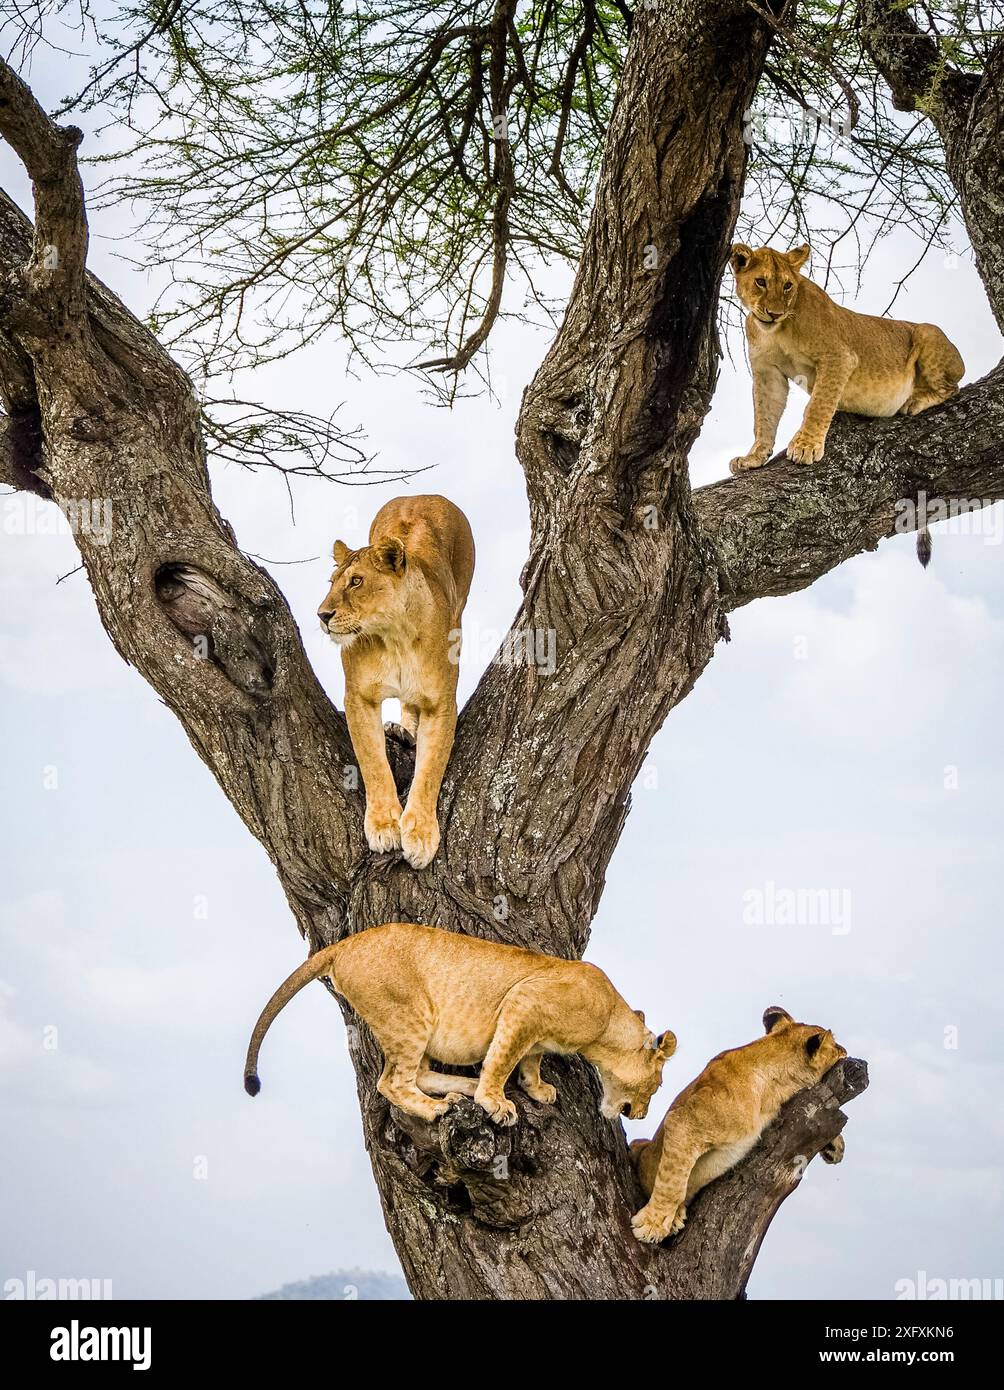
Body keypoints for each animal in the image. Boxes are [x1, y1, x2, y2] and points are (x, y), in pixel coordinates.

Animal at [244, 921, 677, 1126]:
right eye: (655, 1087)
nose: (641, 1115)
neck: (608, 1023)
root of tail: (346, 943)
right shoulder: (524, 1003)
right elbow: (503, 1059)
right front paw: (495, 1102)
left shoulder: (532, 1025)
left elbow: (528, 1061)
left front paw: (537, 1089)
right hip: (409, 1015)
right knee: (392, 1082)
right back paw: (438, 1108)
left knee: (419, 1073)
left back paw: (460, 1091)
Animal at [318, 495, 475, 869]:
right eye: (332, 582)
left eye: (356, 581)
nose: (322, 615)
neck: (395, 636)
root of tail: (422, 494)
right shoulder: (359, 697)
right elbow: (373, 763)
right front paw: (383, 826)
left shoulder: (440, 702)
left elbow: (430, 771)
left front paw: (420, 835)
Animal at [629, 1005, 847, 1244]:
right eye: (838, 1048)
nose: (847, 1052)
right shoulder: (683, 1122)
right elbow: (672, 1182)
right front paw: (653, 1225)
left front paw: (835, 1146)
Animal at [729, 243, 964, 564]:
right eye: (761, 282)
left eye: (788, 286)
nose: (774, 313)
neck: (776, 331)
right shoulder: (768, 372)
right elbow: (764, 417)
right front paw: (753, 458)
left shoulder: (839, 357)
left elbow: (818, 405)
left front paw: (805, 446)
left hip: (927, 332)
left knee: (952, 386)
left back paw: (914, 400)